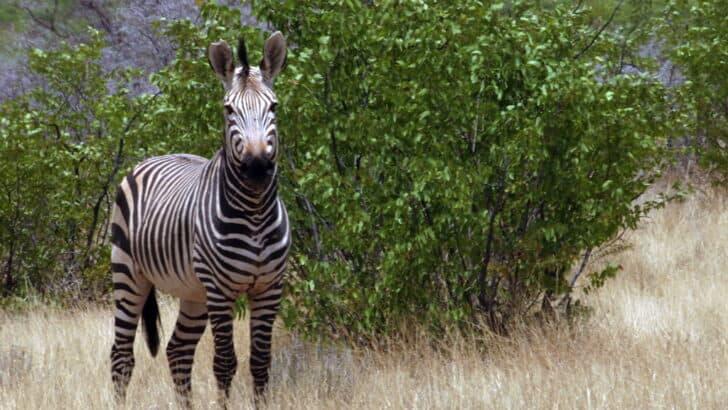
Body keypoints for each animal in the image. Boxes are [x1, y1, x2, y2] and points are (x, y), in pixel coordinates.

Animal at [109, 32, 290, 407]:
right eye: (228, 109)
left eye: (274, 107)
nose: (256, 169)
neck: (254, 213)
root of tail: (152, 158)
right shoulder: (220, 290)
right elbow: (224, 362)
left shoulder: (269, 287)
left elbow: (260, 362)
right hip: (128, 274)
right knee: (121, 356)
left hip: (193, 291)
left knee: (178, 350)